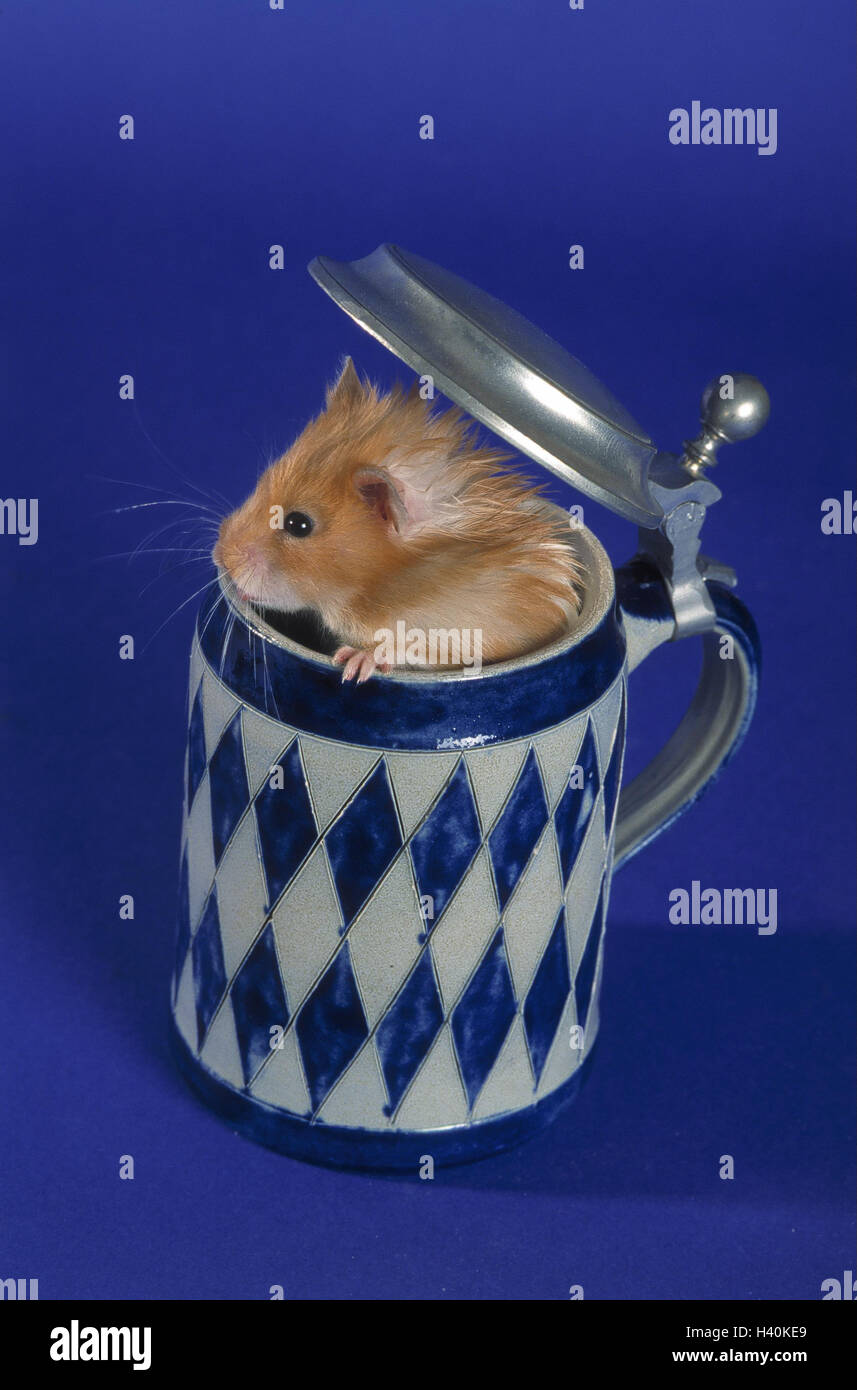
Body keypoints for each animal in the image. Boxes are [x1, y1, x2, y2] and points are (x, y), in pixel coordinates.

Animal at [213, 358, 586, 681]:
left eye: (298, 524)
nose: (220, 557)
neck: (384, 585)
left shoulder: (463, 635)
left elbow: (408, 646)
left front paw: (352, 665)